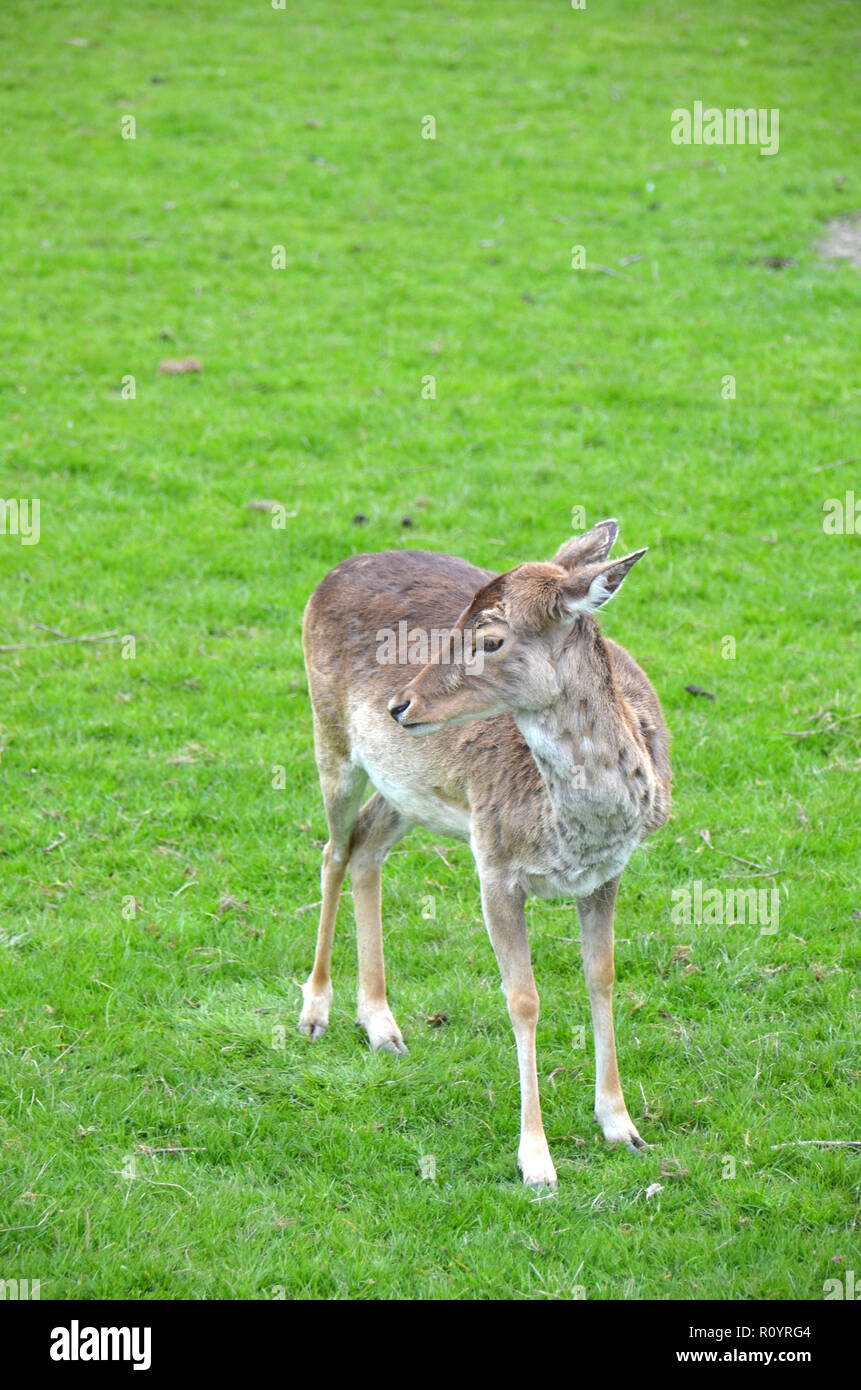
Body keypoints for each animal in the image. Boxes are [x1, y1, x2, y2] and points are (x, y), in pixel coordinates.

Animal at [299, 519, 670, 1186]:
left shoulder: (608, 873)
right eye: (455, 623)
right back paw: (315, 1012)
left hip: (410, 791)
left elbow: (601, 977)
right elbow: (523, 999)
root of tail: (335, 570)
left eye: (490, 638)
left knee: (366, 849)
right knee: (333, 852)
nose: (400, 705)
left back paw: (382, 1024)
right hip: (331, 739)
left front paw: (622, 1127)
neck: (569, 829)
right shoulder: (494, 864)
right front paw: (537, 1163)